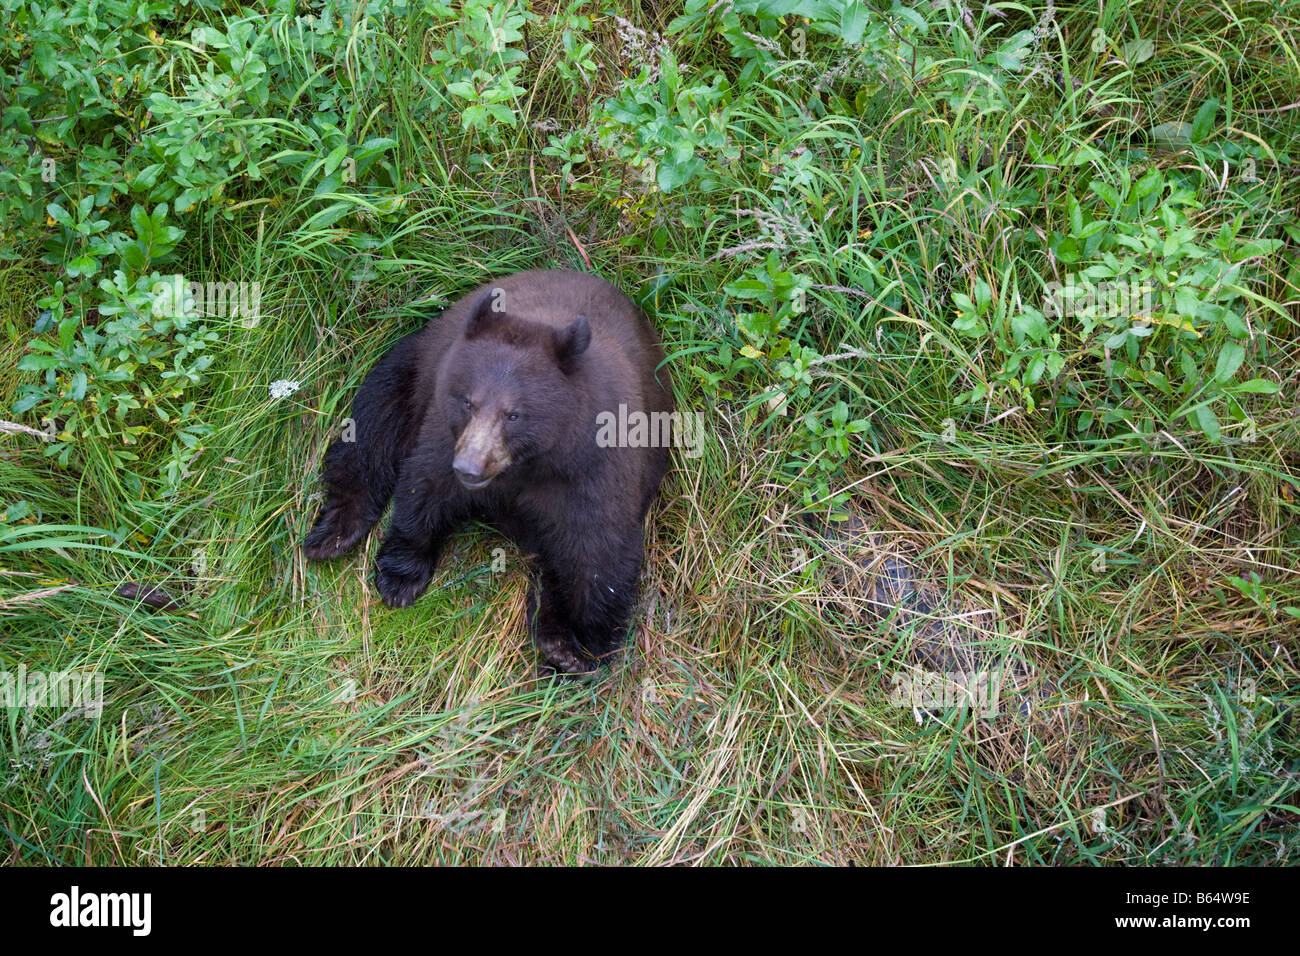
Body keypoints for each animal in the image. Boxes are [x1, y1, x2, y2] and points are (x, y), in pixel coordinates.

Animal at [303, 270, 674, 674]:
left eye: (514, 414)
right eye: (468, 401)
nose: (469, 468)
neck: (526, 467)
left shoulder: (594, 464)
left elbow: (599, 549)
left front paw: (578, 647)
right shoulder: (443, 425)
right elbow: (425, 484)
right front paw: (401, 576)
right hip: (416, 363)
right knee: (373, 428)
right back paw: (334, 534)